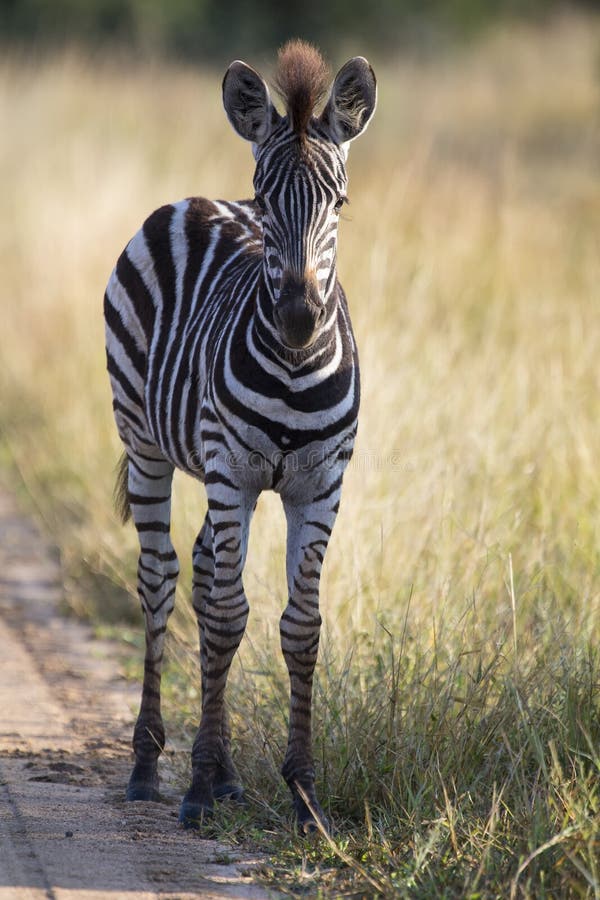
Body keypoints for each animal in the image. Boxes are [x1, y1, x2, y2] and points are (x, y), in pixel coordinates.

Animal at [104, 39, 376, 832]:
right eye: (263, 202)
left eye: (339, 203)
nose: (297, 318)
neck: (293, 368)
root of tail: (194, 201)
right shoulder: (233, 469)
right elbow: (228, 617)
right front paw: (195, 788)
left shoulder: (321, 483)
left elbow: (300, 626)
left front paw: (304, 792)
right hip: (147, 443)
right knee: (162, 579)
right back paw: (148, 765)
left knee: (200, 572)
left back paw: (223, 771)